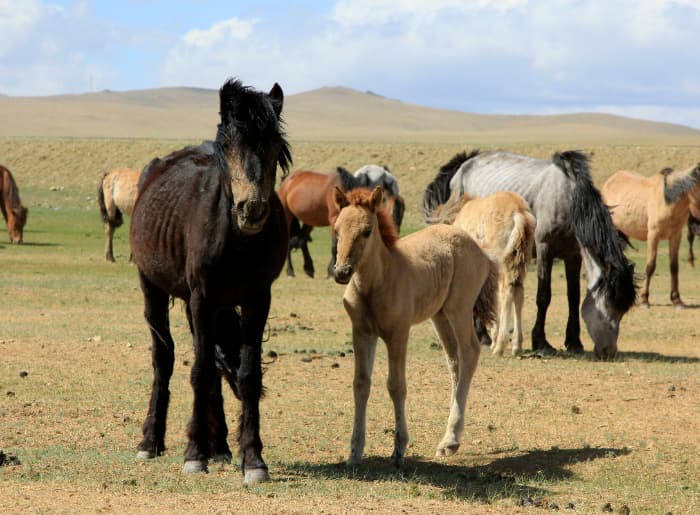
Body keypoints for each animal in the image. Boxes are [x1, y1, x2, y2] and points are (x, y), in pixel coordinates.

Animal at [129, 79, 291, 485]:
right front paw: (193, 455)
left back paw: (219, 446)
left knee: (216, 362)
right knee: (164, 359)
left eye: (275, 147)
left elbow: (246, 374)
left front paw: (253, 460)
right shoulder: (202, 297)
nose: (253, 209)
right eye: (228, 145)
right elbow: (199, 371)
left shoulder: (256, 298)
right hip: (154, 288)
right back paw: (151, 441)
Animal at [332, 186, 498, 466]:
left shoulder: (398, 333)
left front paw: (399, 449)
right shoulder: (362, 332)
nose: (342, 272)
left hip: (459, 309)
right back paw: (449, 437)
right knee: (454, 360)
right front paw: (354, 452)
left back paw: (451, 440)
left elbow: (396, 385)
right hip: (439, 316)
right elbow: (361, 384)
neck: (376, 283)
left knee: (469, 352)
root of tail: (479, 248)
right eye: (336, 229)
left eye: (367, 231)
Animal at [428, 191, 536, 356]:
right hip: (520, 261)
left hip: (502, 261)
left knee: (506, 292)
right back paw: (516, 346)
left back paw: (499, 346)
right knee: (518, 293)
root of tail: (518, 211)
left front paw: (493, 336)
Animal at [601, 164, 700, 308]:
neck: (667, 200)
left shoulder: (675, 236)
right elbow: (650, 266)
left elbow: (674, 267)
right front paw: (644, 300)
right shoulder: (653, 235)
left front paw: (677, 300)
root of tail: (609, 181)